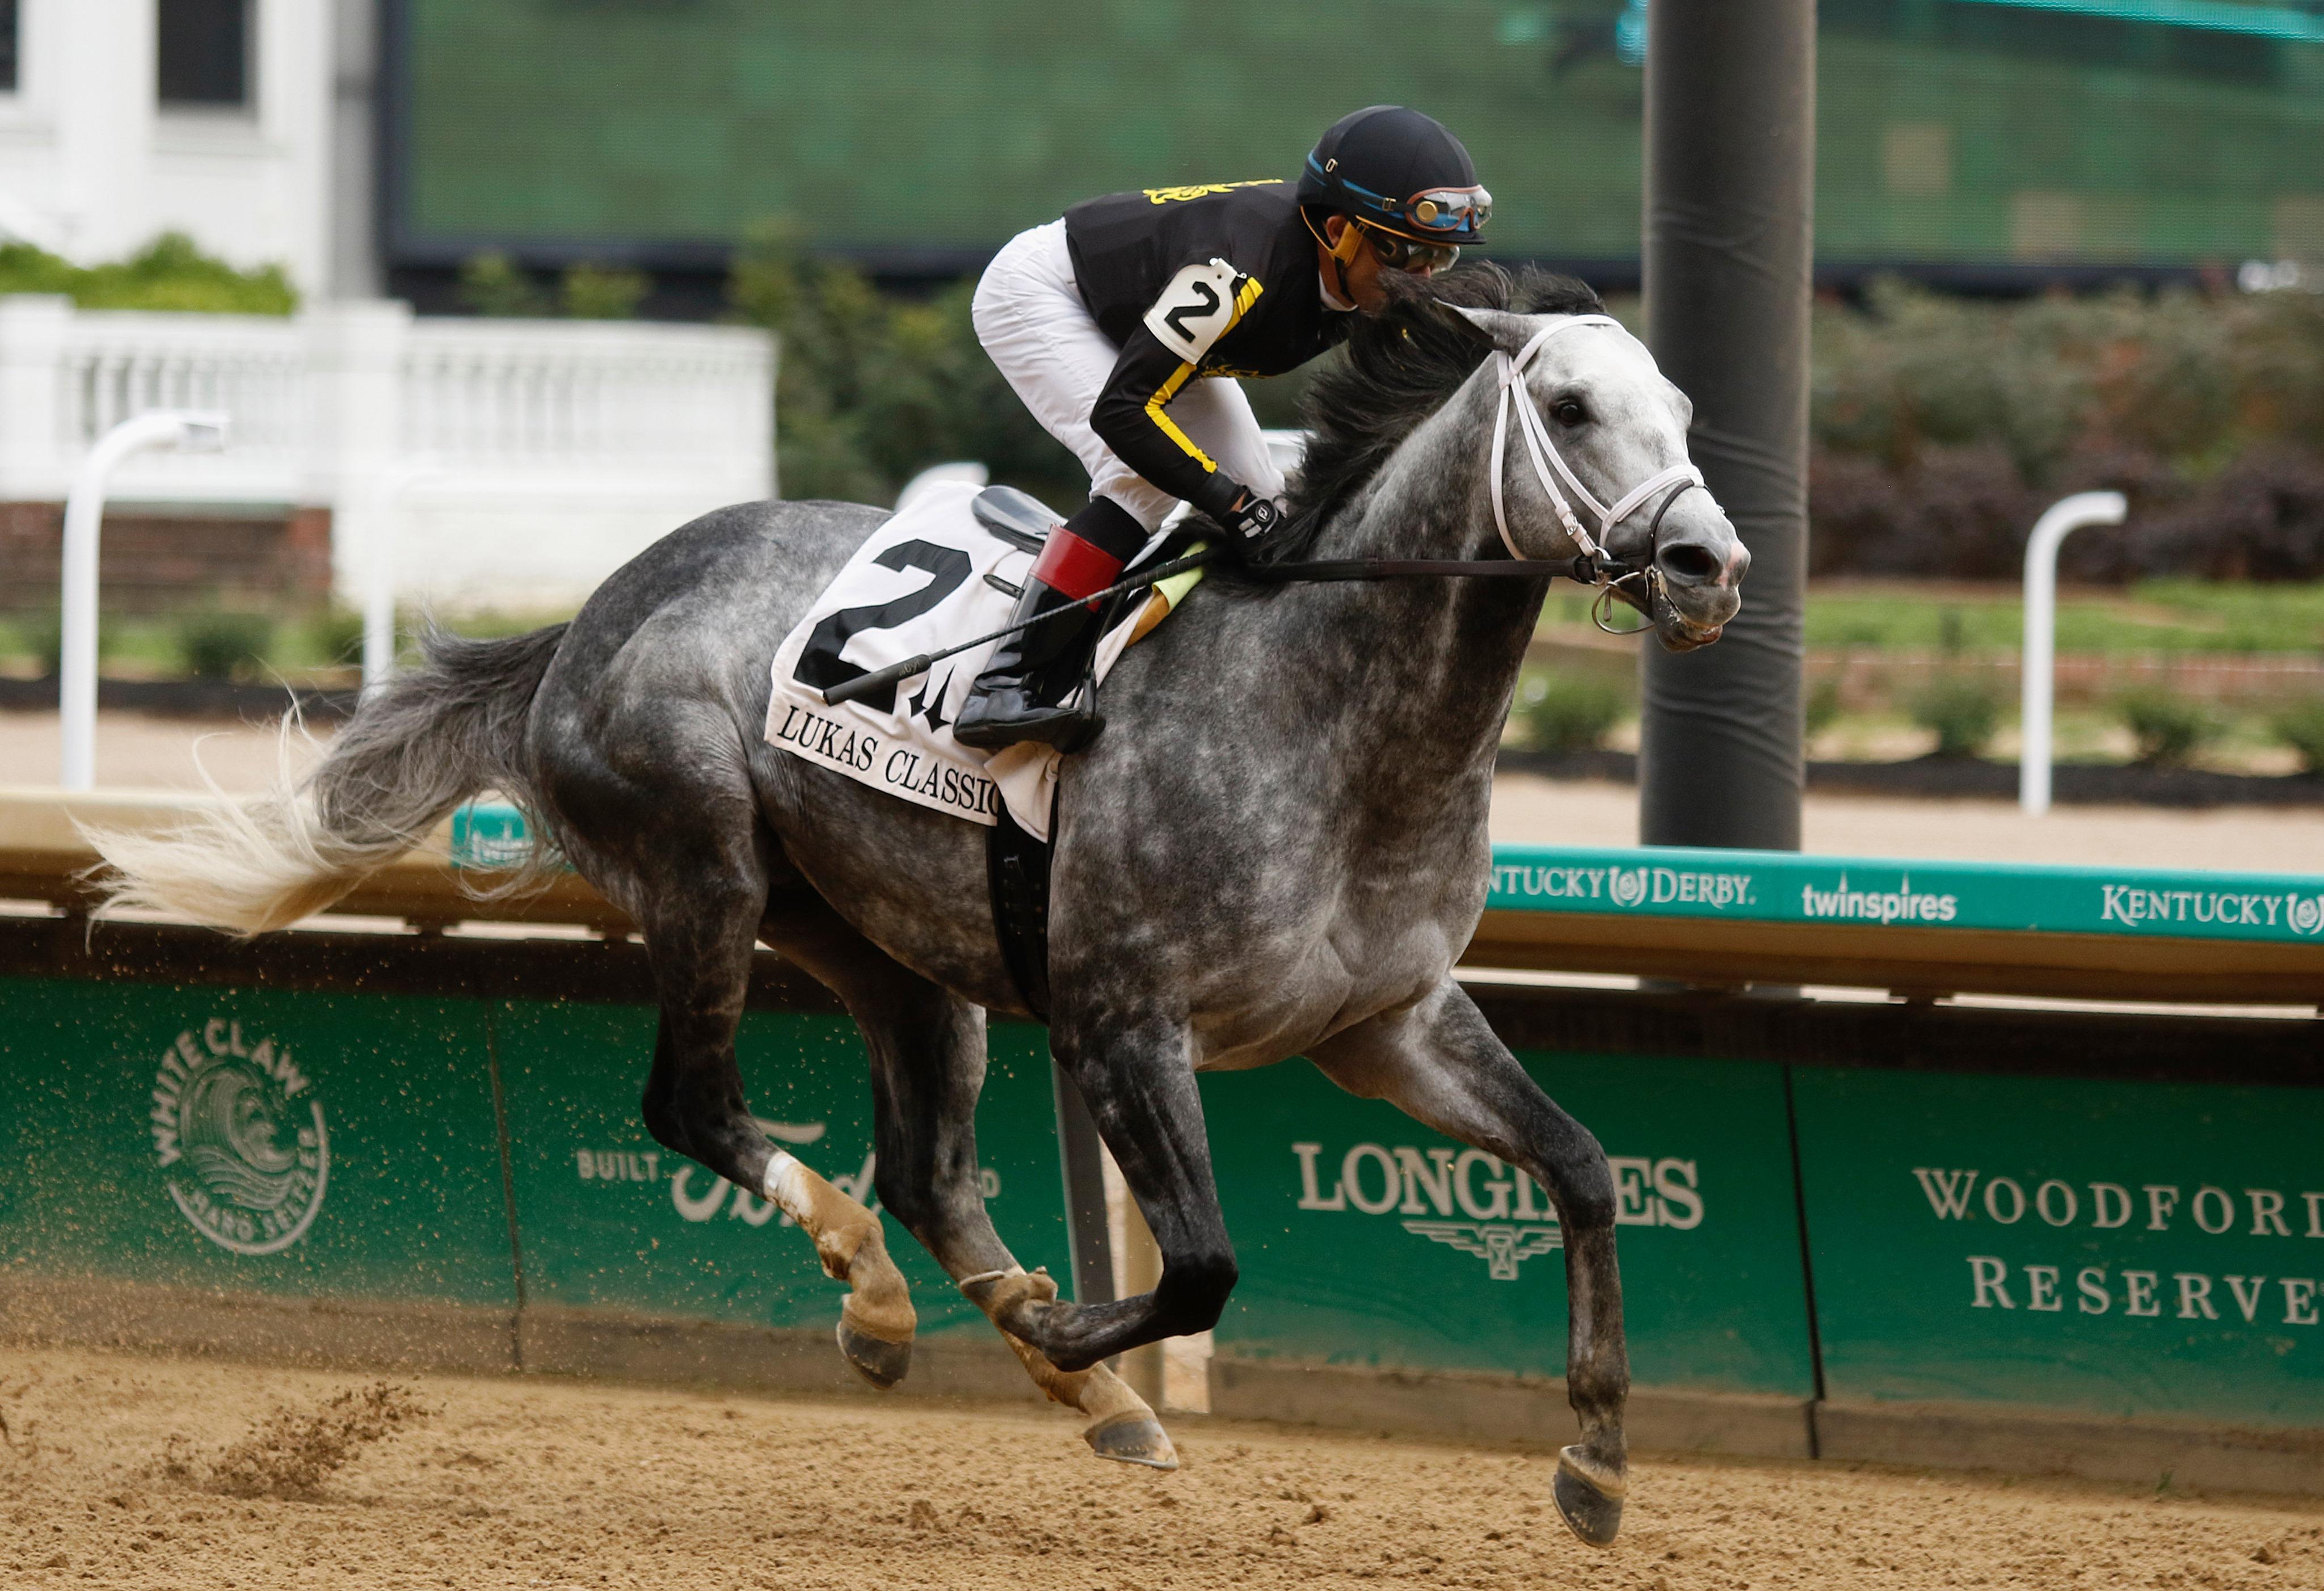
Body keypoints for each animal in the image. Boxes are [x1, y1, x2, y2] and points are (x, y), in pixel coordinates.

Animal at [91, 266, 1747, 1548]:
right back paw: (892, 1306)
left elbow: (1584, 1167)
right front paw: (1065, 1318)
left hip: (894, 949)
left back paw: (1085, 1391)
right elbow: (1202, 1261)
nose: (1708, 561)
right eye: (1576, 409)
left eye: (1683, 408)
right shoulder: (1121, 1018)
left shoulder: (1385, 1021)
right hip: (704, 868)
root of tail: (592, 616)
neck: (1331, 708)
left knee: (923, 1167)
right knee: (700, 1107)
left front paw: (1598, 1462)